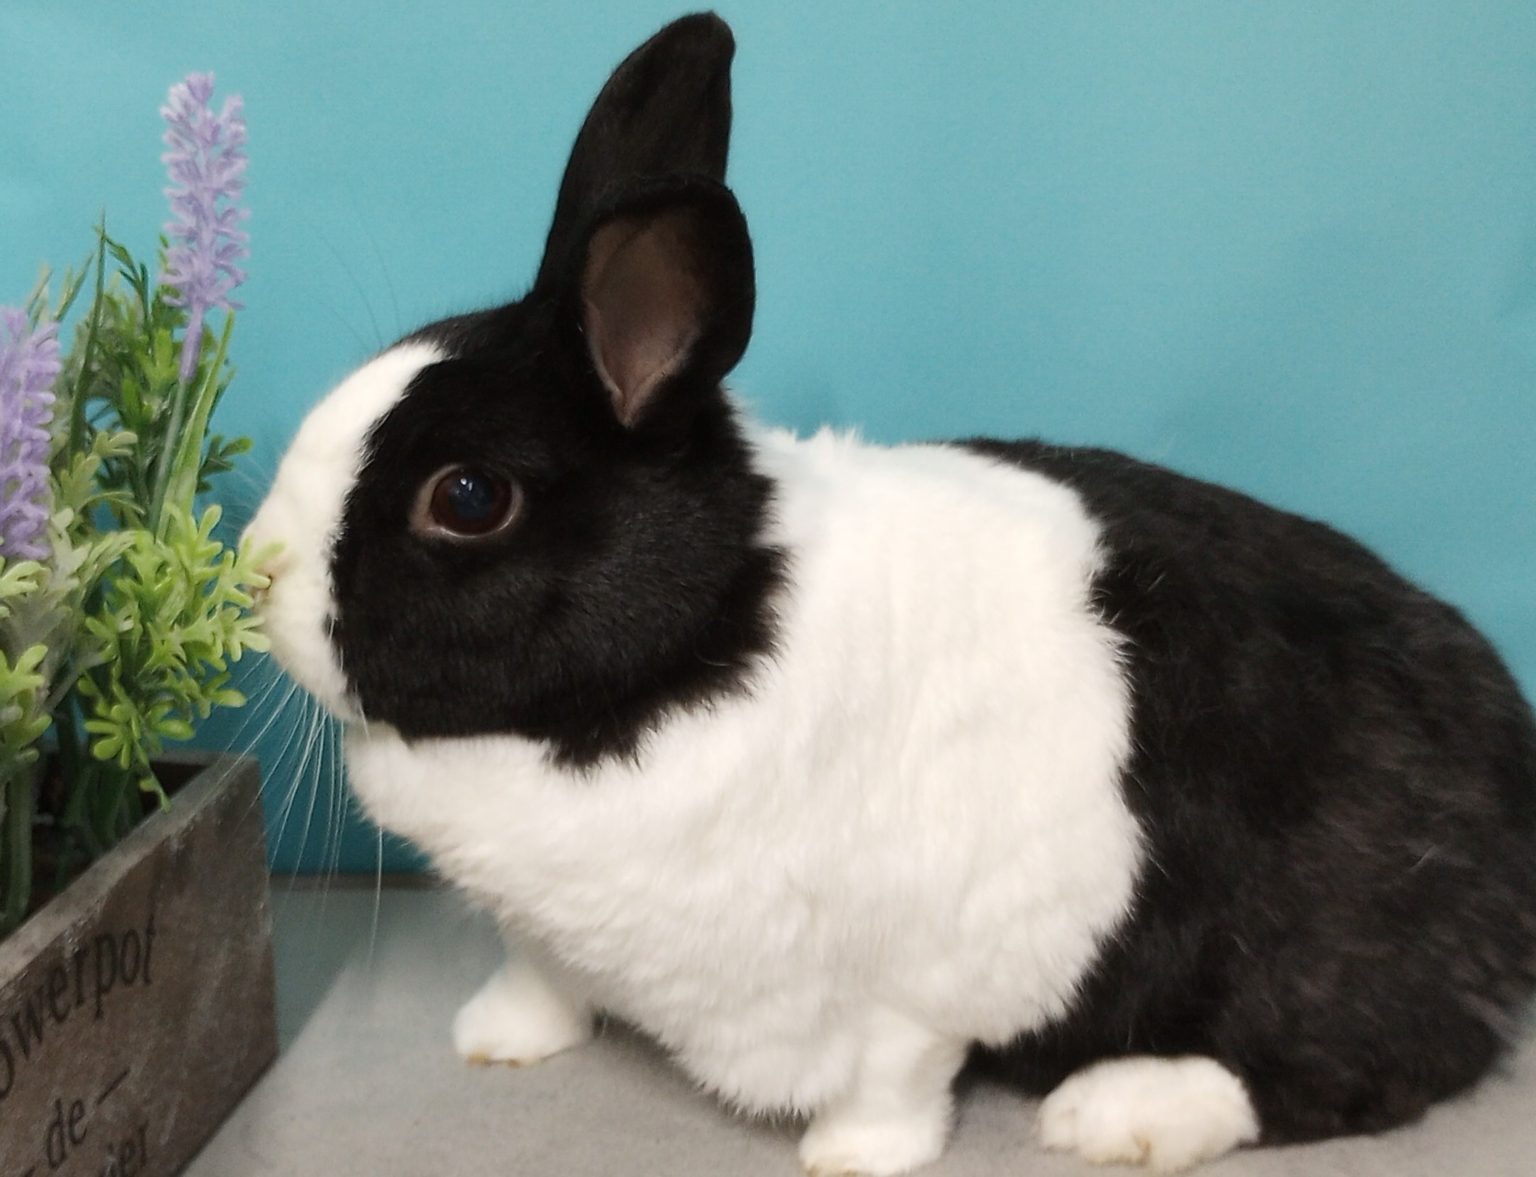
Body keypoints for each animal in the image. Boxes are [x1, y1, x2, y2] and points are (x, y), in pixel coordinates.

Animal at [245, 12, 1536, 1175]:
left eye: (467, 497)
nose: (257, 570)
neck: (693, 644)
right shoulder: (545, 931)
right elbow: (541, 974)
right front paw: (498, 1041)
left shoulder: (923, 974)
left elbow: (896, 1073)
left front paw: (853, 1157)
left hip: (1318, 944)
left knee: (1374, 1060)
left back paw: (1117, 1112)